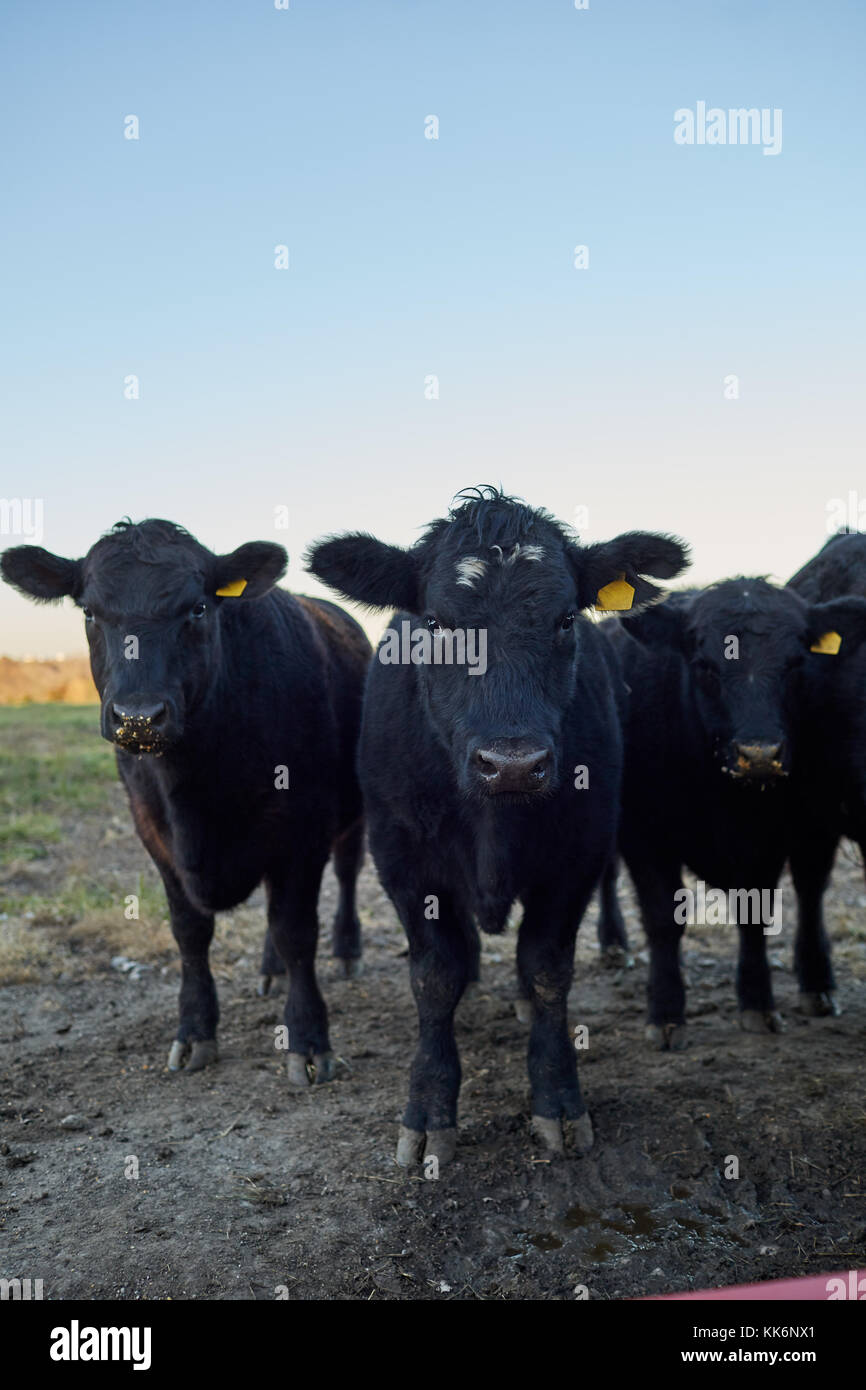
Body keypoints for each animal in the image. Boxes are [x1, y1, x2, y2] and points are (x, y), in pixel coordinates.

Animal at [1, 519, 371, 1084]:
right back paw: (270, 970)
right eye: (89, 611)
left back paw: (347, 951)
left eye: (197, 608)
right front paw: (195, 1030)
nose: (137, 717)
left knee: (347, 872)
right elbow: (191, 932)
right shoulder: (153, 829)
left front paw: (308, 1039)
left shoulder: (305, 827)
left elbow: (296, 930)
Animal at [307, 486, 689, 1165]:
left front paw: (558, 1099)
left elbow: (546, 970)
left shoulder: (577, 855)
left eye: (566, 620)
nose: (512, 763)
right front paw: (428, 1110)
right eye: (436, 624)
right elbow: (435, 977)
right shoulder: (403, 859)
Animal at [596, 577, 866, 1048]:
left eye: (796, 663)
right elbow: (662, 919)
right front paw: (666, 1013)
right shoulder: (643, 833)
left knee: (811, 890)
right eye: (704, 665)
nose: (759, 754)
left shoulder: (773, 837)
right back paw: (613, 945)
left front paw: (757, 1002)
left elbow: (754, 914)